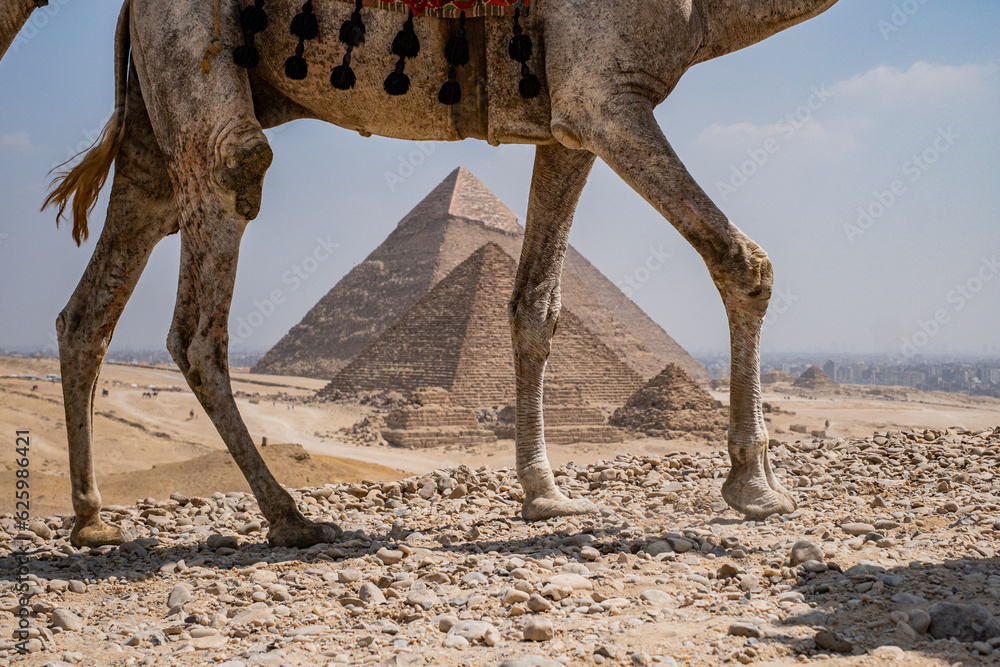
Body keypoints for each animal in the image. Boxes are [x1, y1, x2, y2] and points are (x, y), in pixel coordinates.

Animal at [43, 0, 839, 548]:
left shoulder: (566, 119)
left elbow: (534, 306)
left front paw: (546, 494)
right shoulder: (605, 95)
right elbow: (743, 261)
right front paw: (756, 486)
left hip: (155, 126)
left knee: (90, 308)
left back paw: (92, 519)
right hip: (197, 63)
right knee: (203, 306)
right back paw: (290, 517)